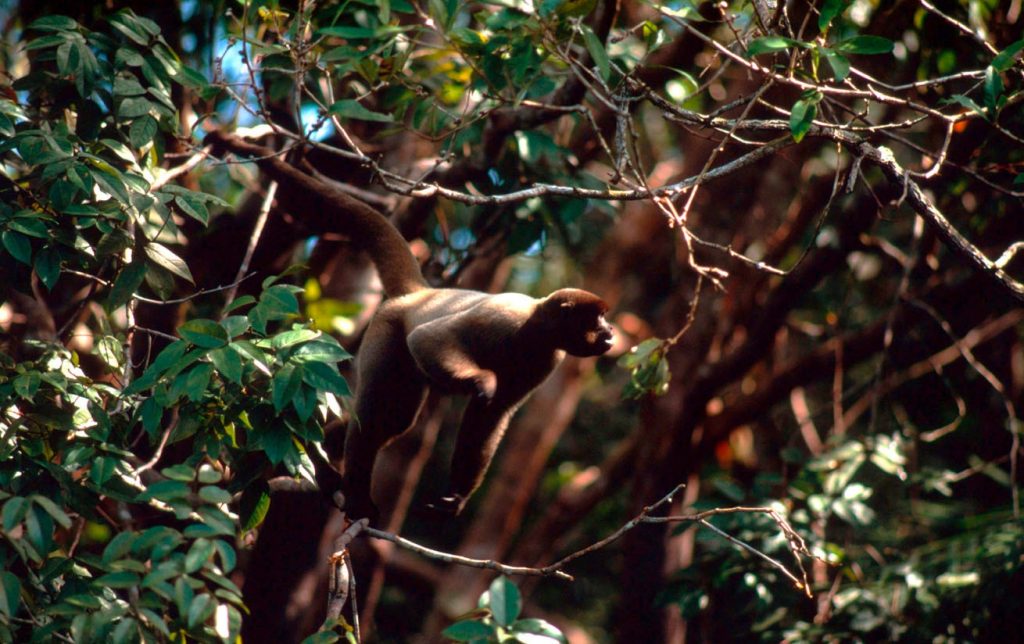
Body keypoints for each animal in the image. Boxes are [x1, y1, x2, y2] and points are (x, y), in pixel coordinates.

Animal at [204, 131, 614, 521]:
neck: (537, 332)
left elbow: (492, 415)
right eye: (596, 318)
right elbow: (432, 339)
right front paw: (482, 382)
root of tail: (418, 294)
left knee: (393, 418)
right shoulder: (504, 317)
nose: (610, 332)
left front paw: (456, 497)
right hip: (386, 332)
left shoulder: (547, 360)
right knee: (378, 418)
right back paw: (350, 491)